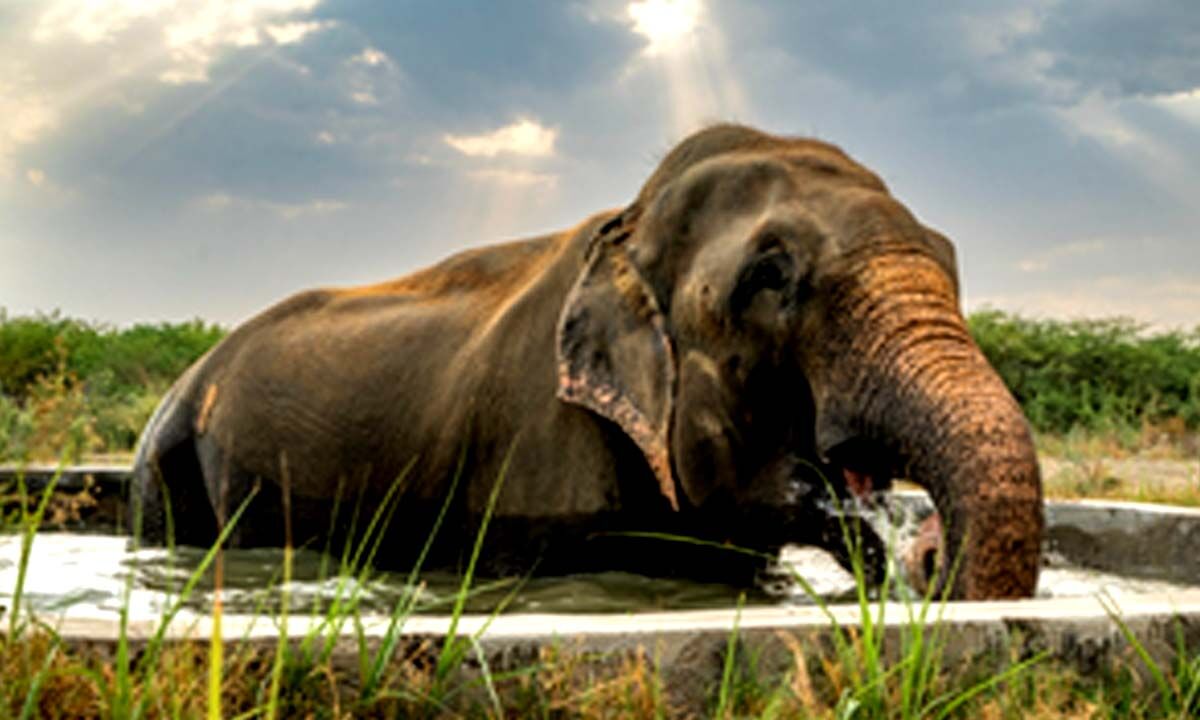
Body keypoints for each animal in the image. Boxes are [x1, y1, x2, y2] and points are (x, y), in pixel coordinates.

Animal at [131, 124, 1043, 599]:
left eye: (949, 256)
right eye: (770, 278)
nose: (923, 554)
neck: (628, 226)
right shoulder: (532, 455)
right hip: (165, 459)